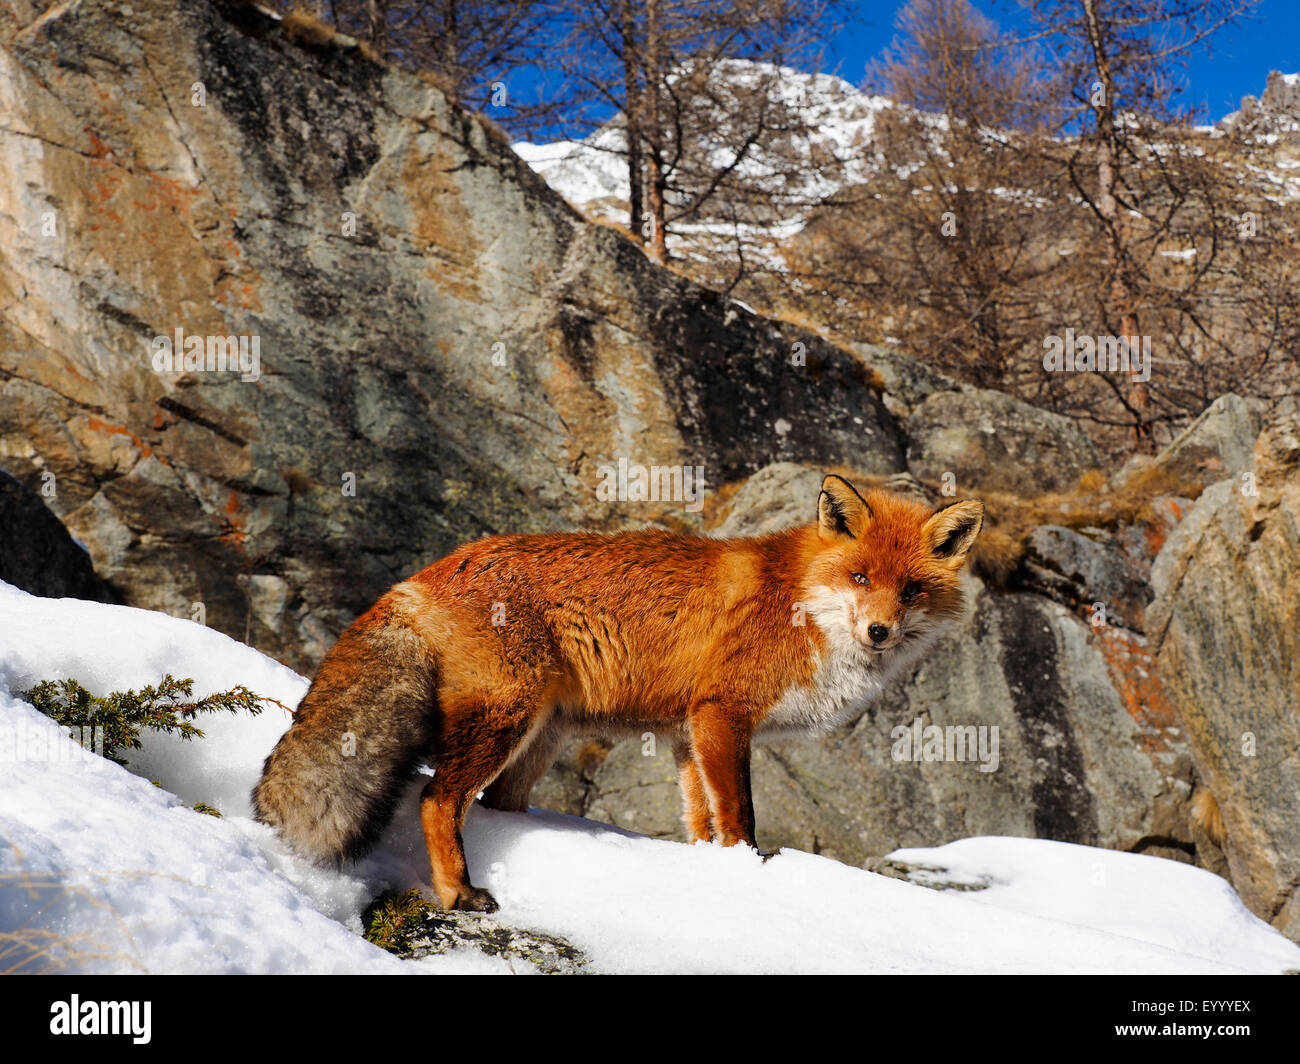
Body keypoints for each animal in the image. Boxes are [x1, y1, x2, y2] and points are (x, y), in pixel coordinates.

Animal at [252, 474, 983, 912]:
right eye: (859, 577)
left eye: (910, 589)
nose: (880, 631)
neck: (800, 601)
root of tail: (429, 571)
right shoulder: (723, 714)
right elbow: (741, 818)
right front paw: (750, 872)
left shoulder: (689, 735)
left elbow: (701, 824)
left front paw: (710, 873)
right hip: (506, 720)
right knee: (437, 799)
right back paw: (460, 892)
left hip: (540, 737)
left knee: (492, 805)